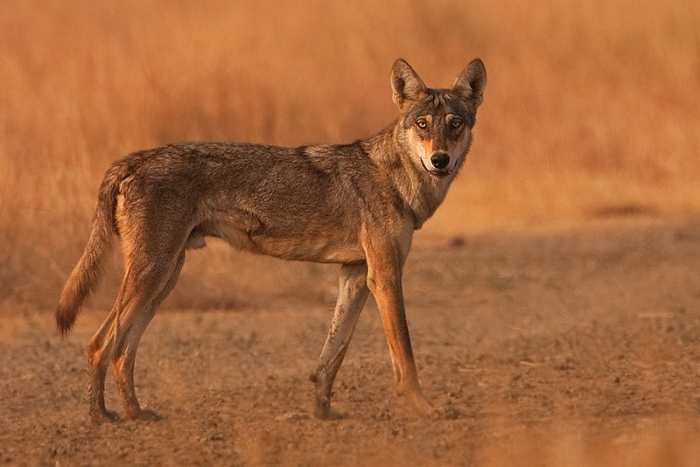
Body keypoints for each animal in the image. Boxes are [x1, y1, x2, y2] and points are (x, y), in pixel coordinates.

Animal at [56, 58, 487, 422]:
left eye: (454, 124)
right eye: (423, 125)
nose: (440, 161)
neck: (396, 178)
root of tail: (132, 160)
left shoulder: (355, 275)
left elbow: (332, 355)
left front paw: (322, 412)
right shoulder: (384, 275)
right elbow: (405, 351)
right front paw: (424, 408)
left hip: (164, 279)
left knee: (120, 350)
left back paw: (134, 413)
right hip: (153, 275)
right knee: (100, 345)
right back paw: (101, 418)